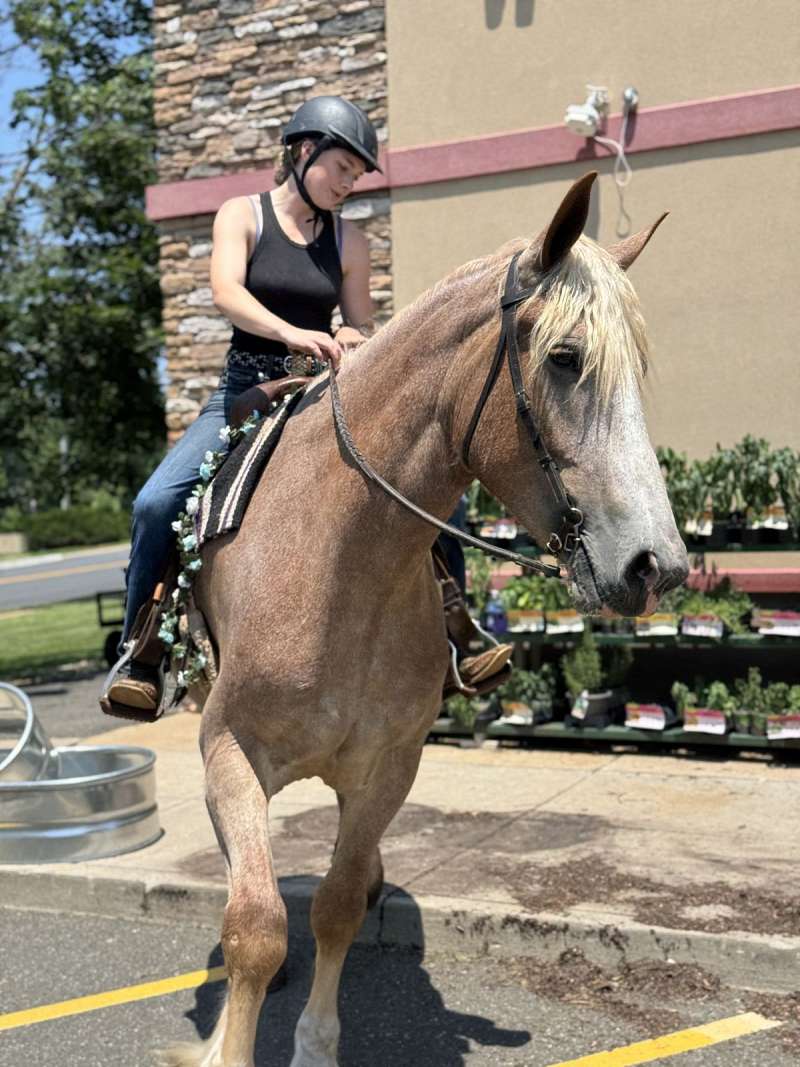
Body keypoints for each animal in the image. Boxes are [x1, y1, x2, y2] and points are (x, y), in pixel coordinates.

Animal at [160, 171, 689, 1066]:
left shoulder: (390, 765)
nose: (658, 566)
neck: (339, 566)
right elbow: (255, 924)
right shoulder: (230, 746)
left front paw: (316, 1042)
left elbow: (335, 904)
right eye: (565, 358)